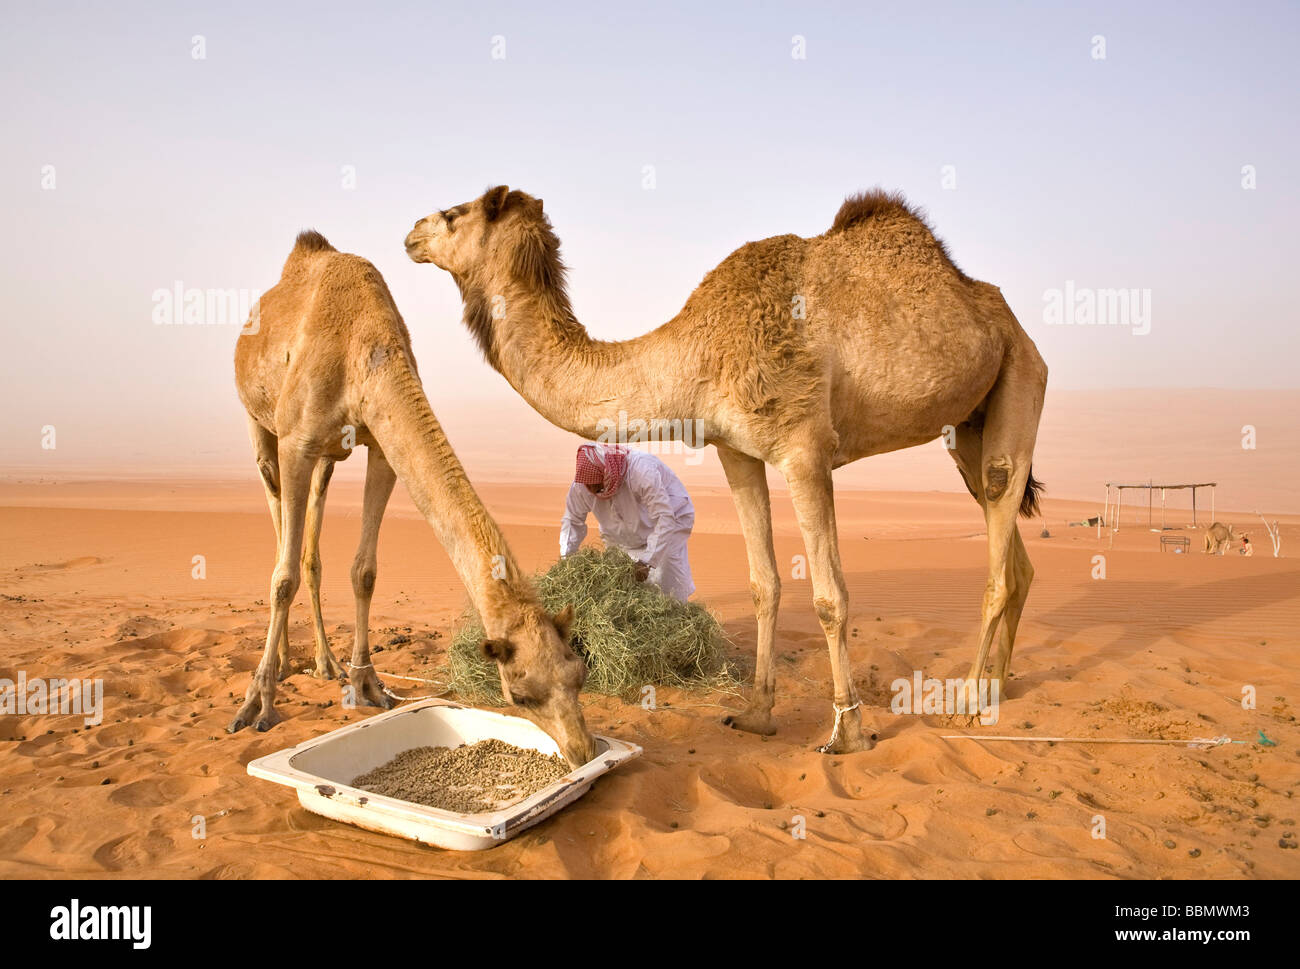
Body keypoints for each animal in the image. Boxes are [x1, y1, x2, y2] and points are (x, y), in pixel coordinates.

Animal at [232, 230, 597, 766]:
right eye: (520, 695)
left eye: (578, 674)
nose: (583, 750)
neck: (362, 348)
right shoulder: (296, 439)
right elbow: (282, 578)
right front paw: (257, 703)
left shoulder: (380, 445)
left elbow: (364, 571)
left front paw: (367, 684)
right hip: (261, 426)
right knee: (280, 525)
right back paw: (277, 667)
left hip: (325, 458)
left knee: (311, 546)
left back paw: (325, 663)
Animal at [405, 186, 1047, 753]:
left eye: (455, 213)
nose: (411, 233)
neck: (699, 351)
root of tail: (1011, 321)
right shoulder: (735, 450)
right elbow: (764, 583)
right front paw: (758, 713)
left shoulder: (805, 449)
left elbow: (830, 596)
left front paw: (847, 730)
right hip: (968, 426)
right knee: (1011, 547)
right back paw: (996, 687)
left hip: (1022, 376)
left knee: (998, 539)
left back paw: (967, 698)